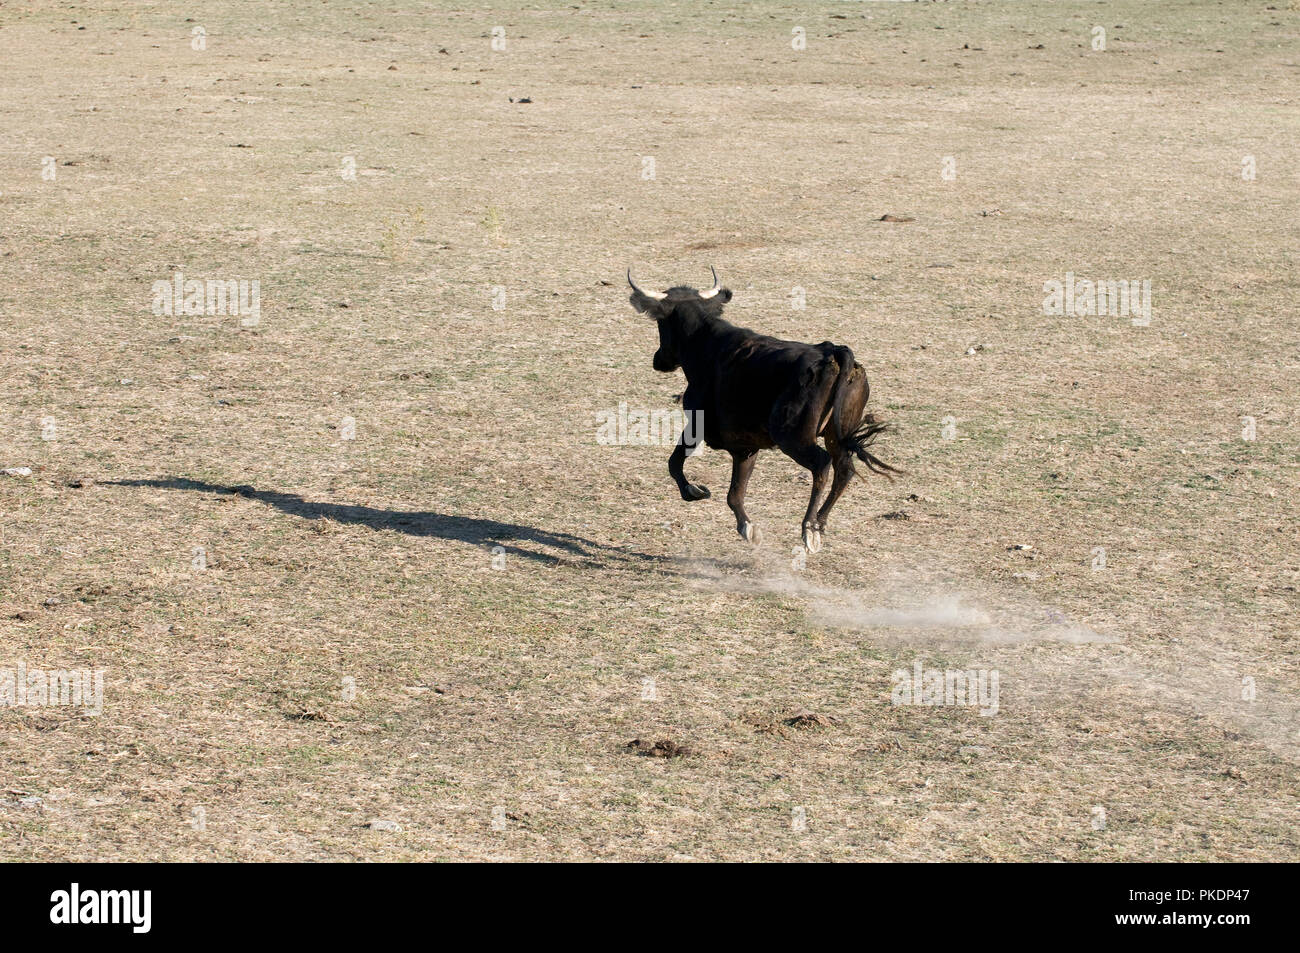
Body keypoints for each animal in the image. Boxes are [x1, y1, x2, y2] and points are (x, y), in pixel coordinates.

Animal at [627, 267, 898, 553]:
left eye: (660, 323)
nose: (658, 360)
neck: (707, 345)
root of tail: (834, 353)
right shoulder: (746, 447)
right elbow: (735, 493)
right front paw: (747, 527)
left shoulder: (698, 425)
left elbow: (675, 462)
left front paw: (694, 491)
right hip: (837, 434)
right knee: (844, 468)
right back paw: (821, 523)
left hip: (793, 437)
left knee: (822, 465)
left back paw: (809, 527)